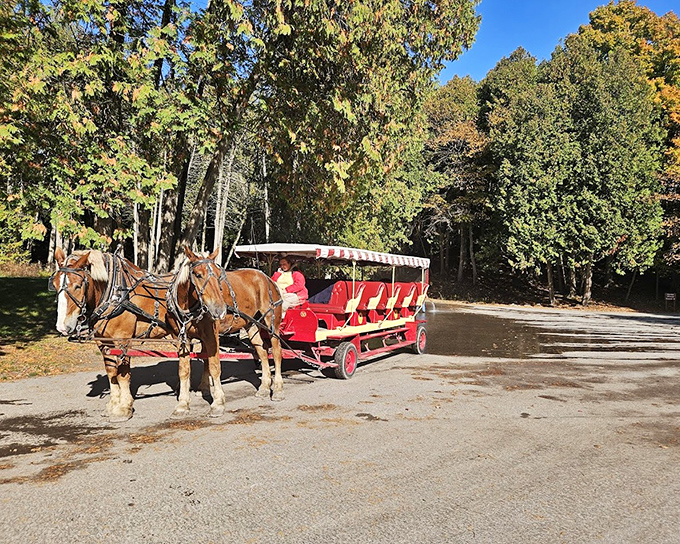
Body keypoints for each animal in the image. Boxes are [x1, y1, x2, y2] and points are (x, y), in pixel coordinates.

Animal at [51, 246, 227, 421]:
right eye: (54, 284)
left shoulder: (122, 340)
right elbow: (111, 373)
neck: (114, 293)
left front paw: (124, 408)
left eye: (78, 285)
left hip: (208, 333)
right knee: (205, 358)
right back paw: (200, 388)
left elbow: (123, 375)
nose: (62, 326)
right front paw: (113, 405)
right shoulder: (103, 342)